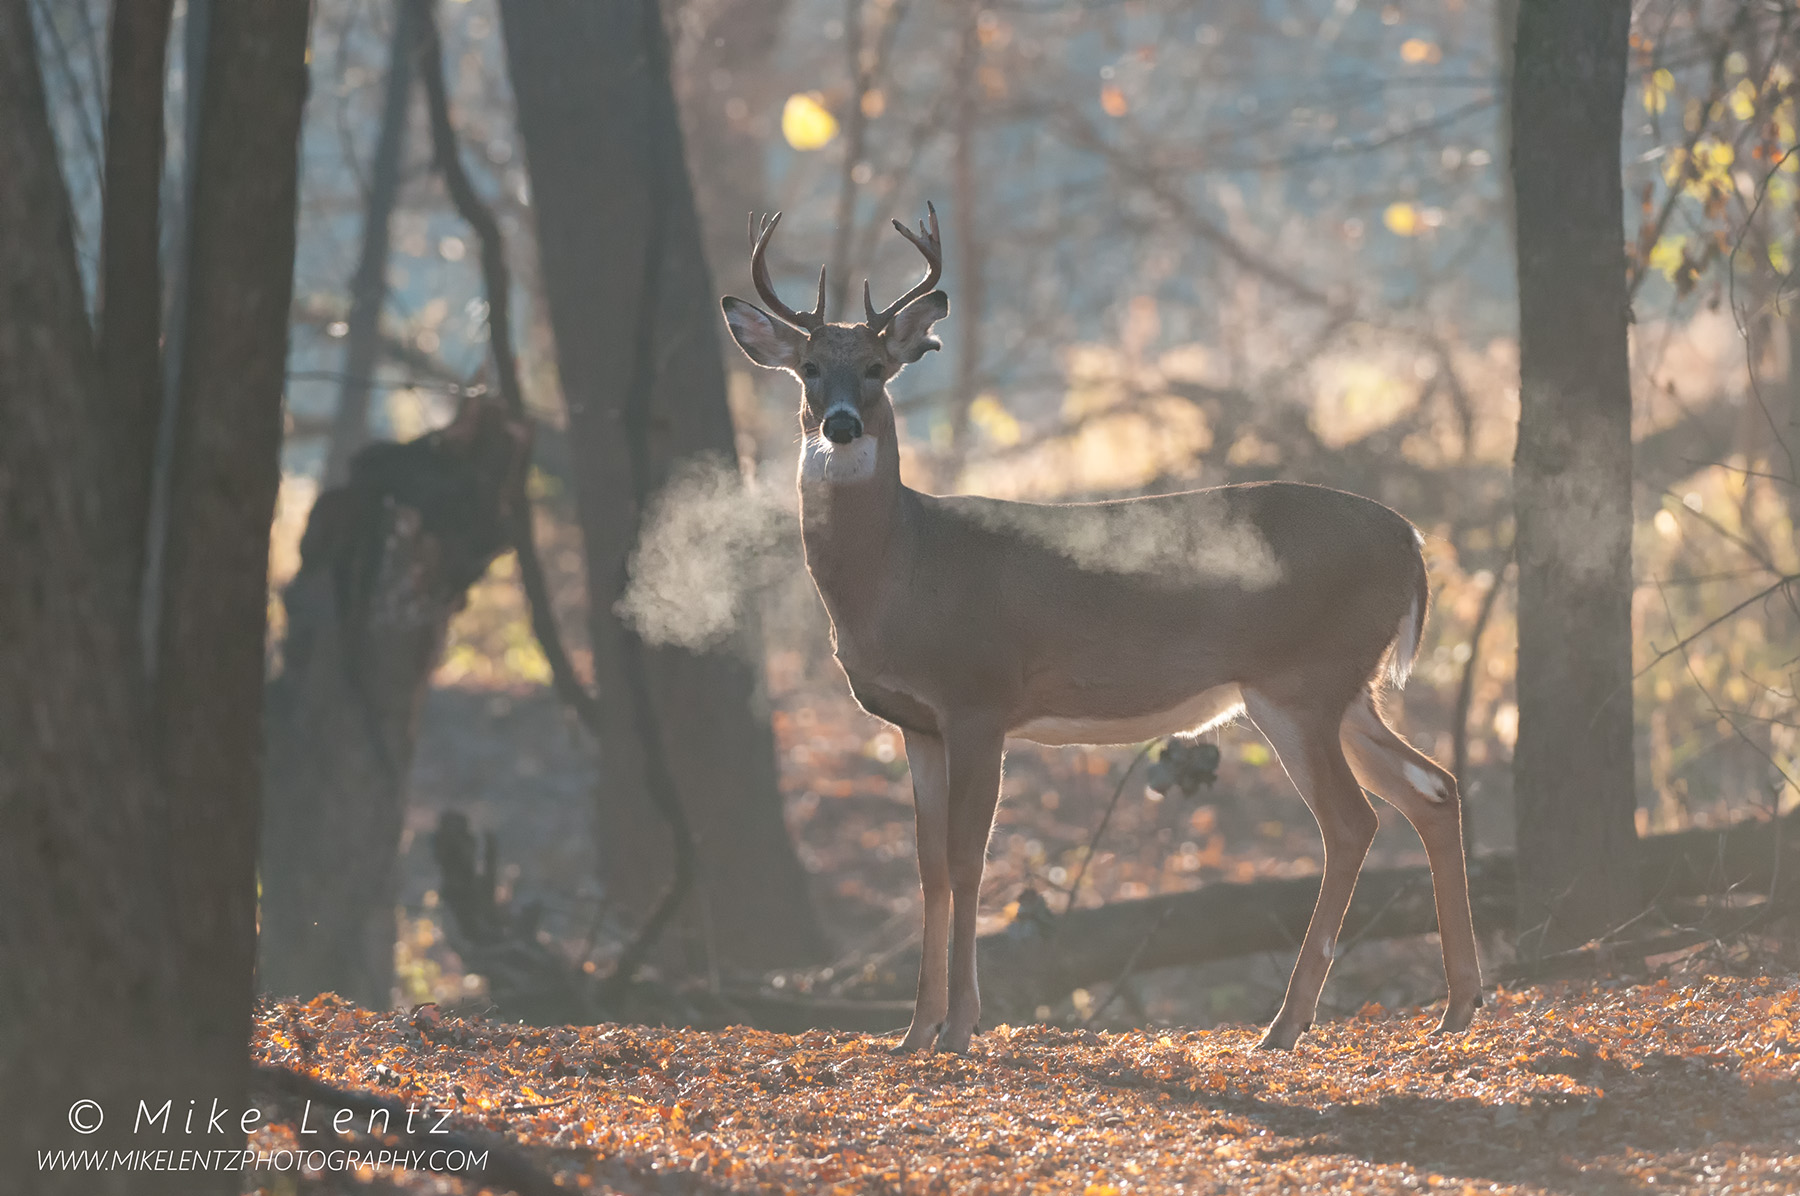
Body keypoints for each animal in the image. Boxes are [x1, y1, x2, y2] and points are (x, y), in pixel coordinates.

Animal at [720, 205, 1483, 1055]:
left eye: (881, 368)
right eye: (810, 368)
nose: (844, 426)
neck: (904, 567)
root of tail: (1411, 542)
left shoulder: (980, 698)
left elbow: (968, 860)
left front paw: (961, 1026)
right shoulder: (916, 723)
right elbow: (927, 868)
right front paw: (914, 1031)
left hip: (1300, 682)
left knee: (1353, 822)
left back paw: (1287, 1022)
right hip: (1346, 688)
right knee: (1434, 789)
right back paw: (1458, 1004)